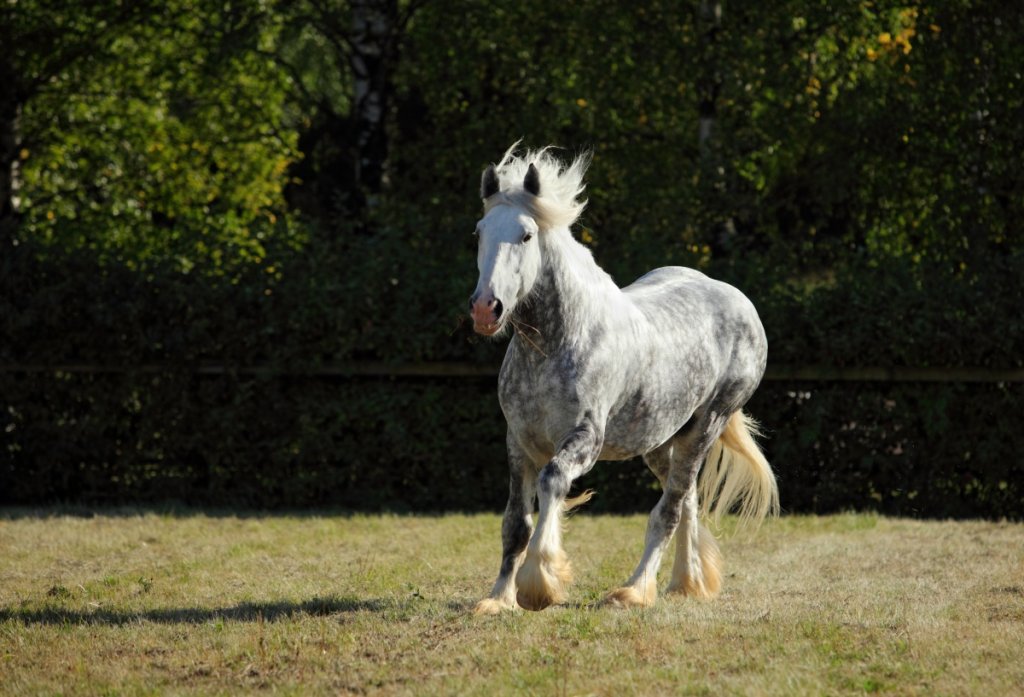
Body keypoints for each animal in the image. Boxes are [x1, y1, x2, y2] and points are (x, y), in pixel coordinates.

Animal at [468, 144, 779, 614]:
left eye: (525, 236)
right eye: (479, 233)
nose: (487, 309)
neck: (555, 345)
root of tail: (739, 301)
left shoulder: (585, 439)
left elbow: (552, 482)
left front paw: (538, 584)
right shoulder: (518, 441)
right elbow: (514, 523)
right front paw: (498, 598)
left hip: (706, 427)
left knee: (669, 509)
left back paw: (634, 590)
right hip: (660, 441)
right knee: (687, 499)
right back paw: (686, 583)